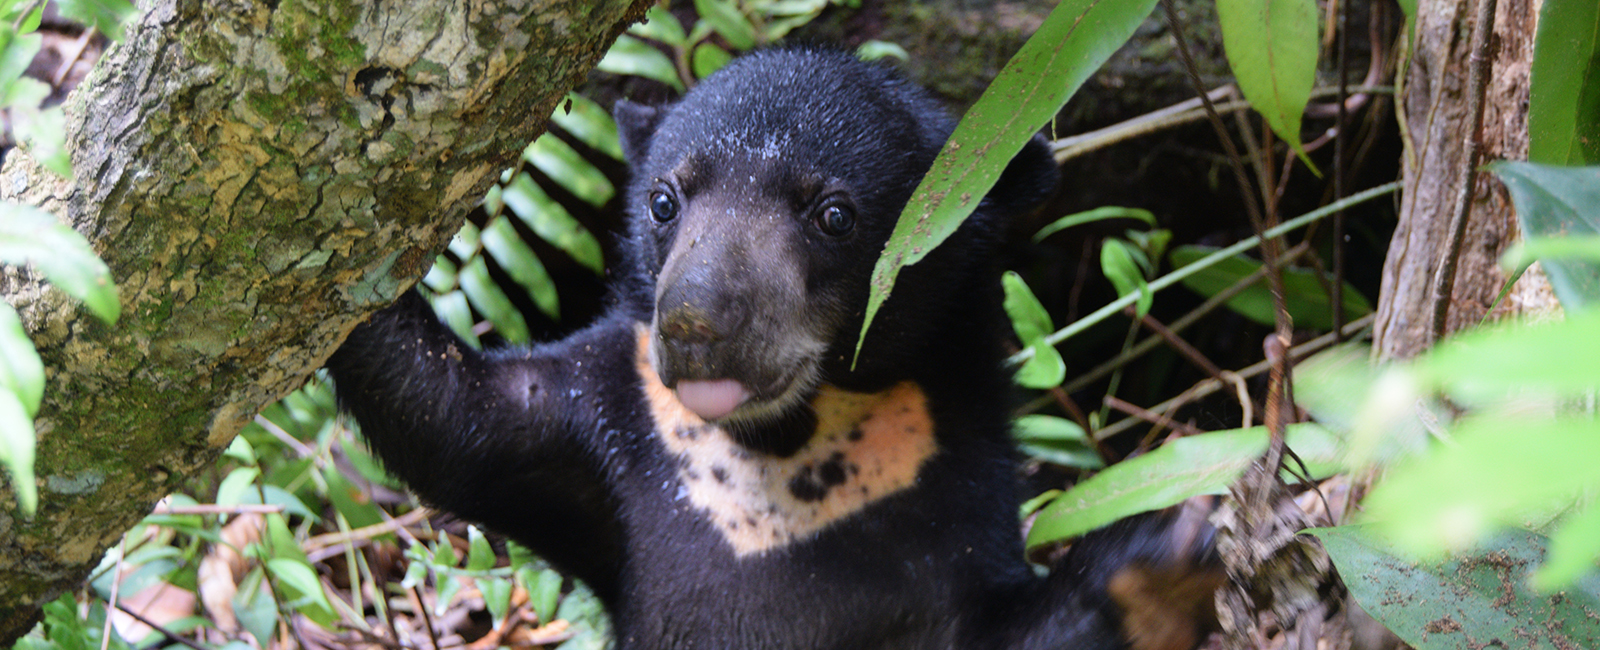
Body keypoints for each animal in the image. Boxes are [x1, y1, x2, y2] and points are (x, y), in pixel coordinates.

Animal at [327, 46, 1212, 650]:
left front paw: (1160, 556)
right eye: (664, 200)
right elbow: (458, 421)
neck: (787, 440)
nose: (694, 325)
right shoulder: (611, 420)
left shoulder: (954, 496)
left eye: (834, 214)